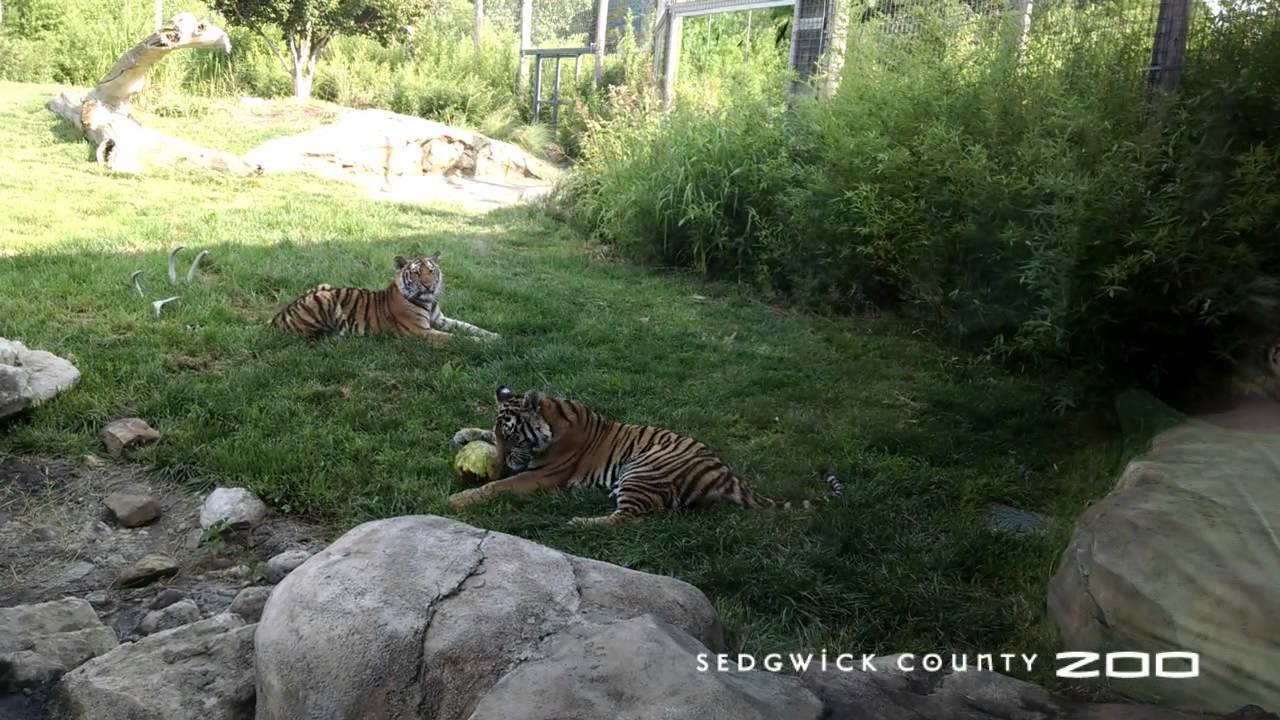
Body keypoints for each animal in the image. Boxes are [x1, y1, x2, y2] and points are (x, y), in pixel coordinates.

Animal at [270, 252, 498, 341]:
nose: (429, 285)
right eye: (417, 273)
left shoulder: (440, 319)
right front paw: (480, 343)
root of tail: (277, 317)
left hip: (323, 285)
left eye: (431, 271)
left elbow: (467, 326)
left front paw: (494, 336)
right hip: (325, 299)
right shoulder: (420, 331)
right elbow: (455, 337)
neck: (428, 302)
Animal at [448, 387, 844, 526]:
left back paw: (578, 521)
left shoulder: (541, 475)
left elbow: (500, 488)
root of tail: (726, 472)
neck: (553, 417)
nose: (500, 462)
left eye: (514, 437)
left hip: (642, 469)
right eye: (501, 436)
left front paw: (459, 499)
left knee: (630, 519)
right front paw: (464, 433)